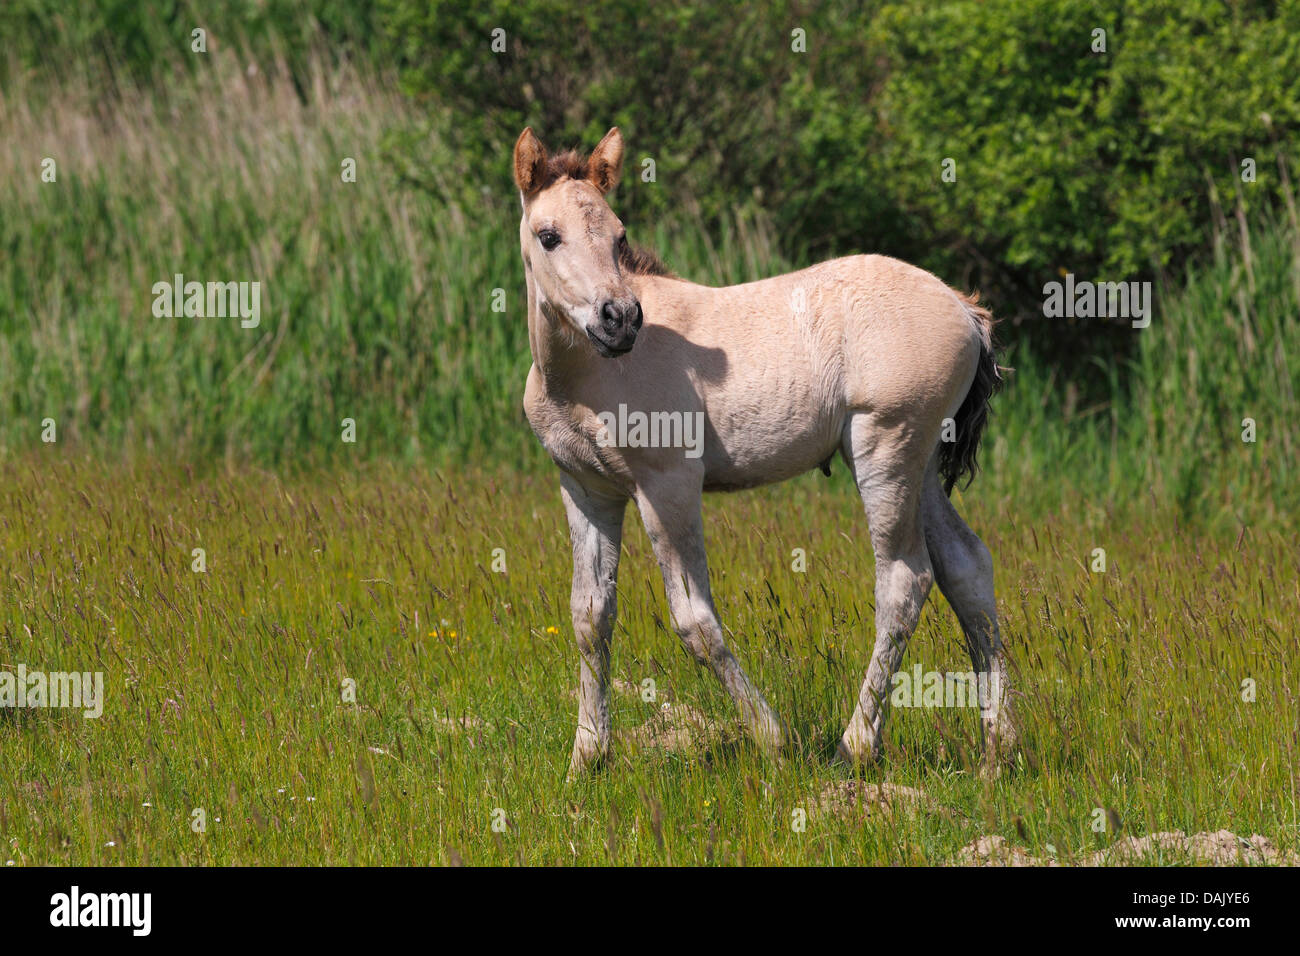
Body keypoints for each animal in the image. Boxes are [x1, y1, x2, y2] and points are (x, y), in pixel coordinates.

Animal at [513, 126, 1016, 778]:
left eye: (620, 236)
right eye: (549, 236)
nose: (619, 319)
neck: (583, 376)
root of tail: (965, 310)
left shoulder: (667, 486)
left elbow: (695, 621)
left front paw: (774, 740)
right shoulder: (587, 490)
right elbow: (589, 616)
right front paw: (586, 759)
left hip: (887, 452)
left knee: (905, 581)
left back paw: (856, 745)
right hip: (924, 461)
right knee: (966, 566)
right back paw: (997, 751)